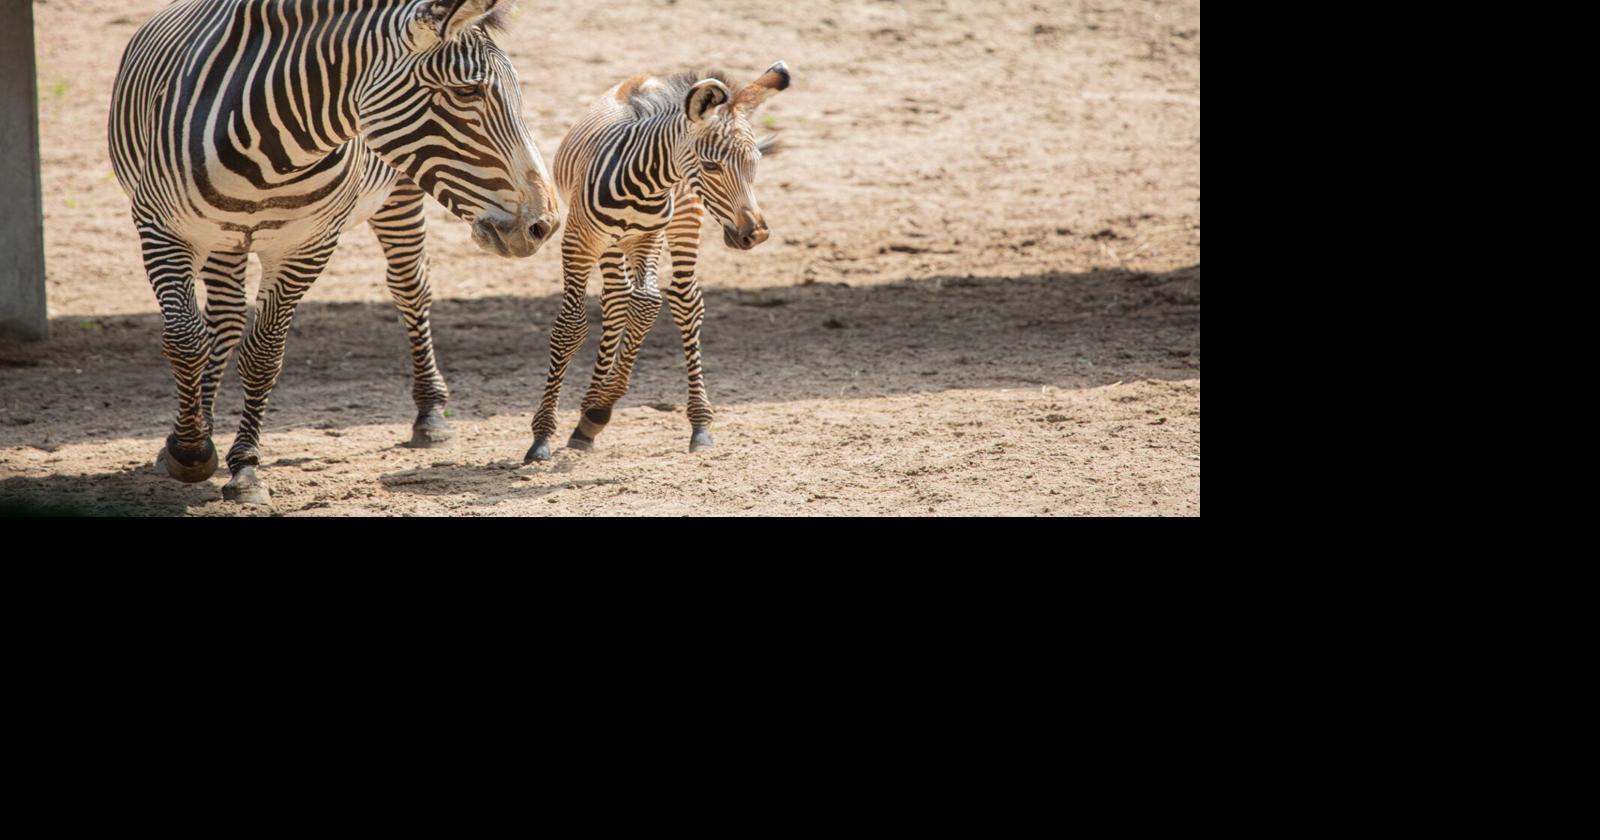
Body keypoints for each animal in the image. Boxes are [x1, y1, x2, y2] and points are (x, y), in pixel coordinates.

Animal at [109, 0, 560, 505]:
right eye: (467, 92)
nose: (543, 225)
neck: (271, 150)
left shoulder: (308, 245)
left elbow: (264, 354)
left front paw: (245, 468)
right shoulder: (160, 229)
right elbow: (186, 340)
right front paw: (189, 449)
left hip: (399, 190)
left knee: (410, 287)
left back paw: (430, 413)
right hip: (225, 239)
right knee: (222, 320)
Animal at [524, 63, 790, 464]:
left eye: (754, 164)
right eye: (711, 165)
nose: (754, 235)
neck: (643, 183)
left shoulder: (648, 238)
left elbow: (647, 304)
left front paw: (598, 410)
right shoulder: (579, 242)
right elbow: (571, 325)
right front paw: (542, 436)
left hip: (683, 220)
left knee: (683, 301)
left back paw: (697, 424)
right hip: (609, 243)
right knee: (616, 299)